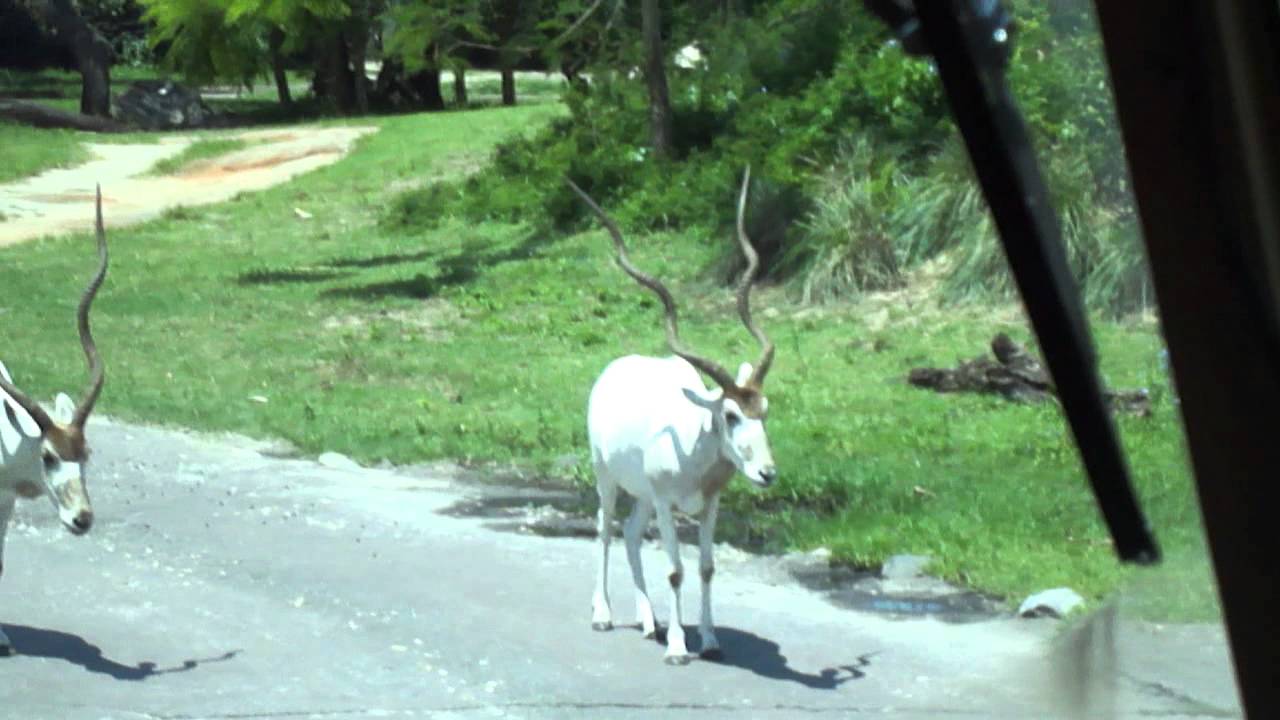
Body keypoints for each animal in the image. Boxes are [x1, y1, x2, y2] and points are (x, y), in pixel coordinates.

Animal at [567, 168, 777, 665]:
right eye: (731, 414)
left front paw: (711, 641)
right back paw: (603, 614)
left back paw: (649, 622)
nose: (767, 473)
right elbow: (676, 571)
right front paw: (680, 648)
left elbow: (706, 567)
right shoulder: (667, 504)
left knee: (629, 532)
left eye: (764, 410)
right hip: (607, 476)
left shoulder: (710, 505)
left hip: (642, 494)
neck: (693, 445)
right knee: (605, 529)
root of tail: (614, 368)